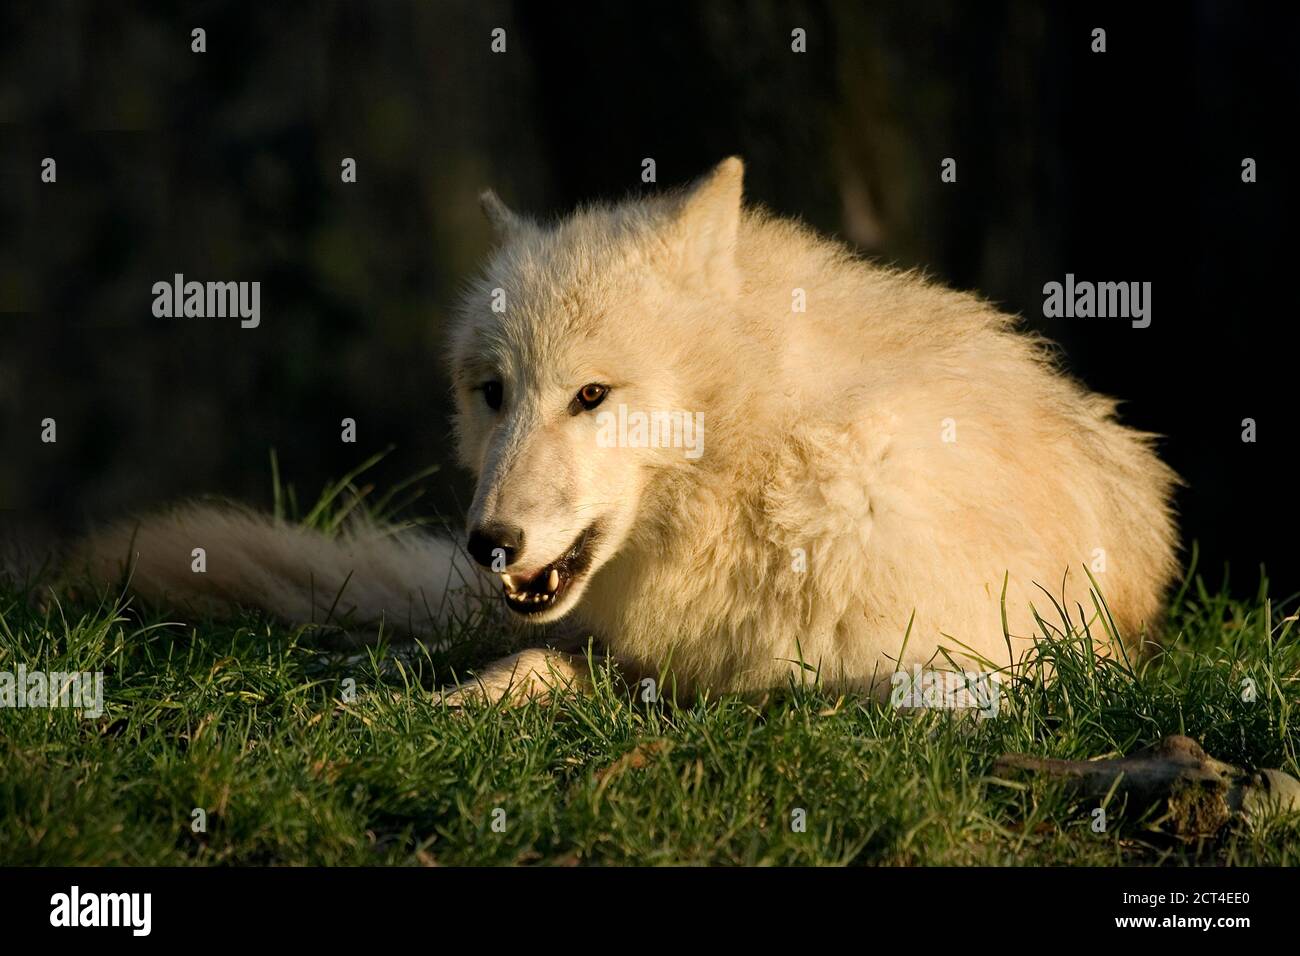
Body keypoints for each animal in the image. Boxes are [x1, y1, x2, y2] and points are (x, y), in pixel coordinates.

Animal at [74, 158, 1179, 704]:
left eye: (592, 395)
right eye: (492, 392)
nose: (489, 544)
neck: (760, 473)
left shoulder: (969, 669)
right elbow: (526, 668)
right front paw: (427, 697)